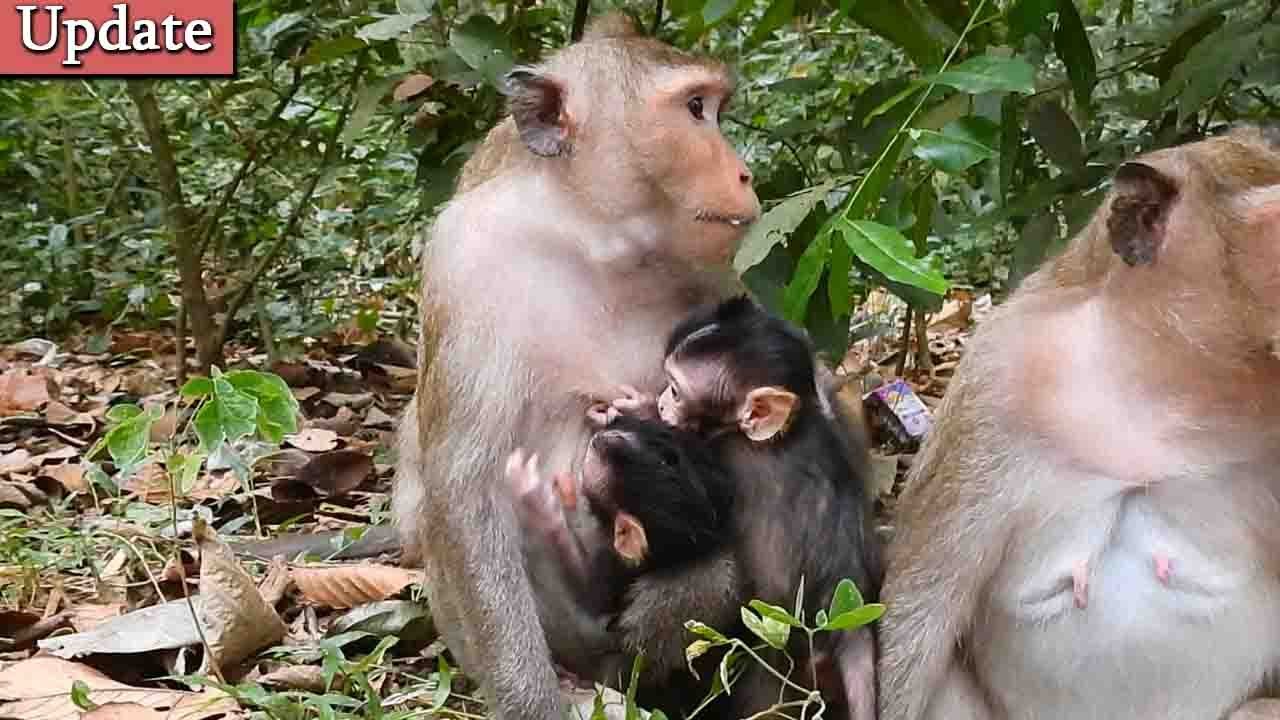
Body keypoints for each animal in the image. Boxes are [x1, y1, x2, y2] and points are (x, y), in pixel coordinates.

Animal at [392, 11, 759, 720]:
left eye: (714, 107)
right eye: (695, 109)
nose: (746, 175)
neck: (592, 236)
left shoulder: (709, 272)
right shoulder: (467, 261)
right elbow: (465, 488)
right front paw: (530, 701)